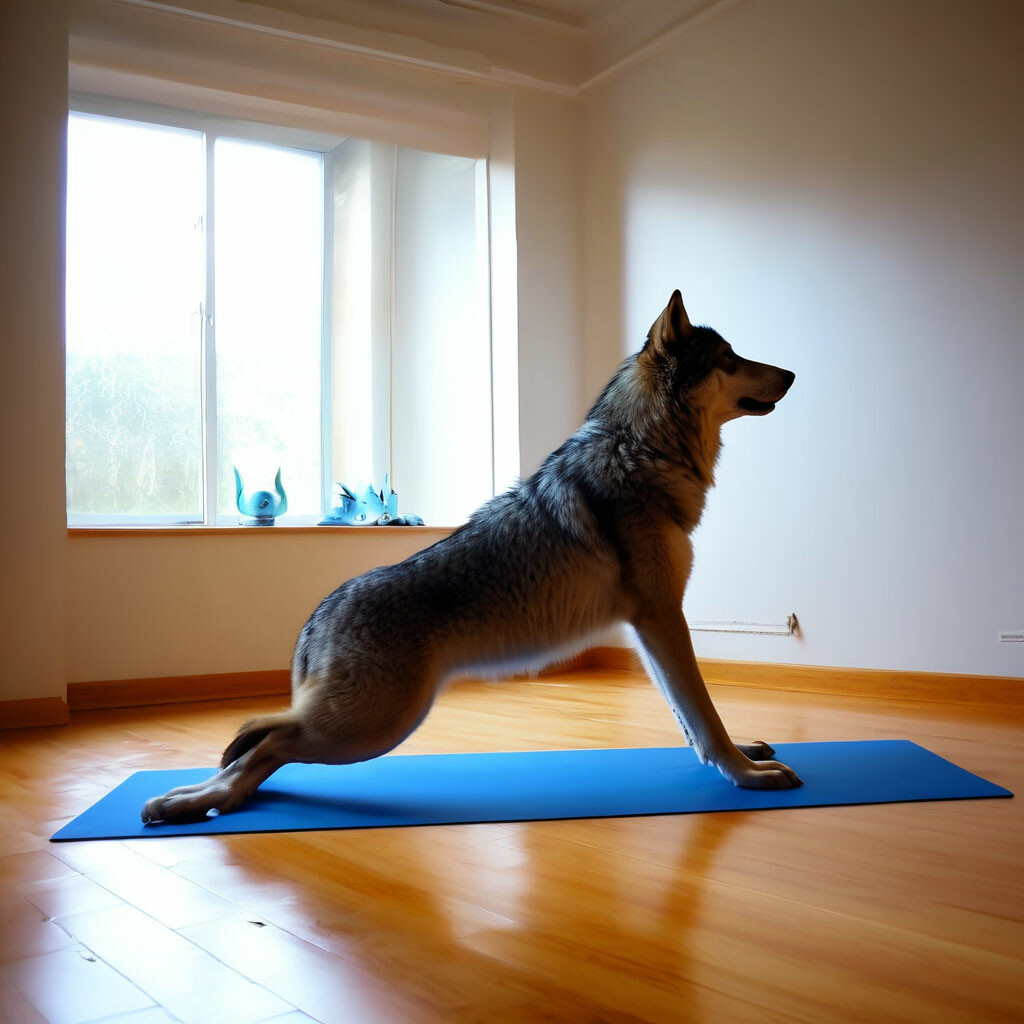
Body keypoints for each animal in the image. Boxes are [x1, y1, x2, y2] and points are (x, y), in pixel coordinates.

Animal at [142, 289, 800, 824]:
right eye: (730, 358)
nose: (794, 373)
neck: (642, 448)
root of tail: (318, 616)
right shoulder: (663, 617)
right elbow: (705, 713)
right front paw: (745, 774)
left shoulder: (648, 628)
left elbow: (689, 716)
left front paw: (737, 755)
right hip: (372, 728)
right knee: (265, 741)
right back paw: (189, 801)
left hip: (364, 726)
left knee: (256, 749)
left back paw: (198, 801)